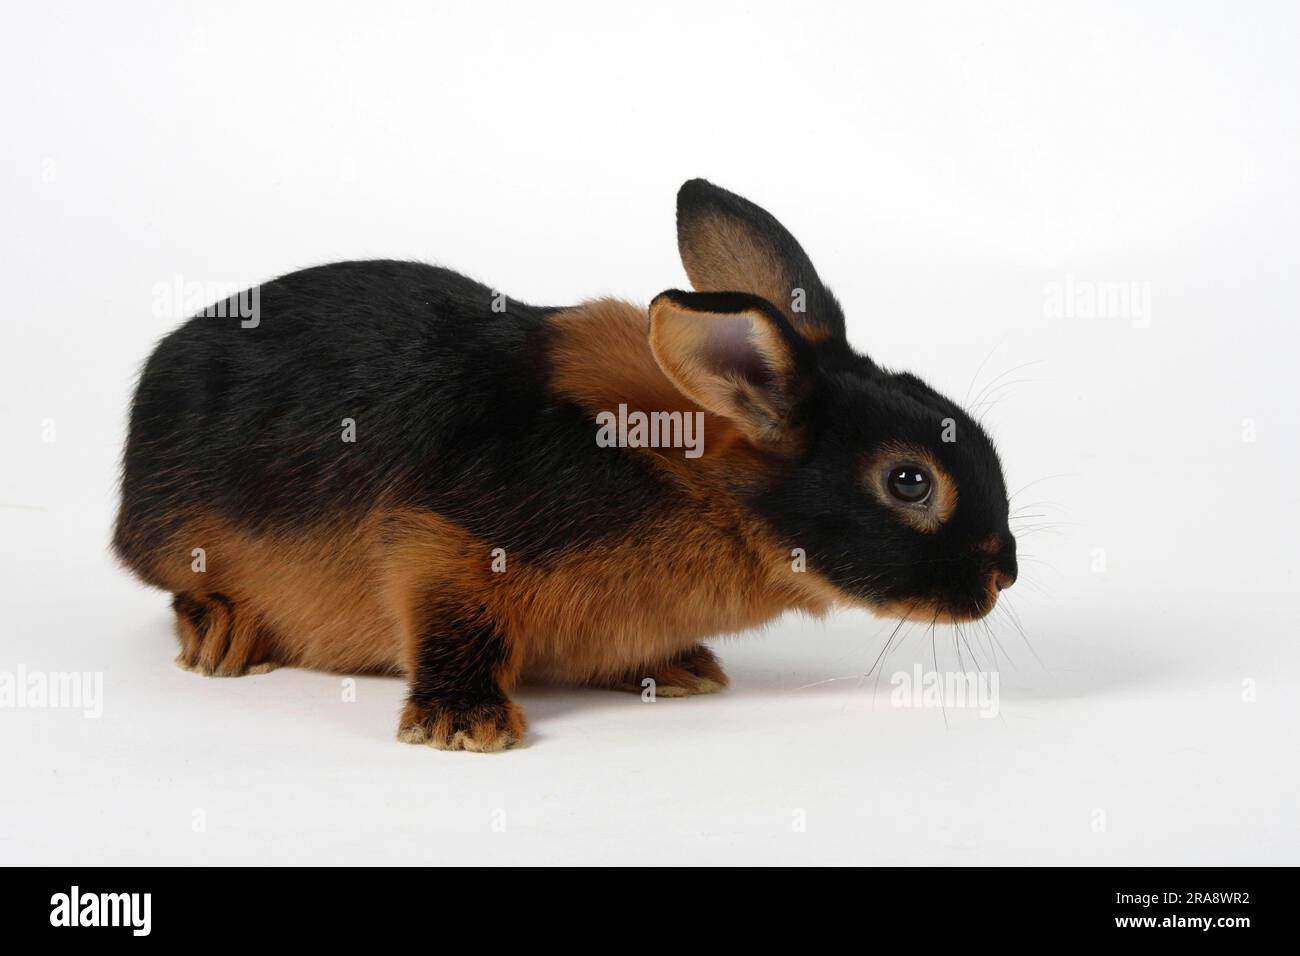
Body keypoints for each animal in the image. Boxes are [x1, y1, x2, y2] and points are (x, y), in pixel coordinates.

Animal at [113, 178, 1017, 752]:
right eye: (908, 480)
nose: (1003, 573)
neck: (707, 489)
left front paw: (678, 670)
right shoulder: (447, 544)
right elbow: (453, 625)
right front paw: (464, 727)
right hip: (174, 534)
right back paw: (223, 637)